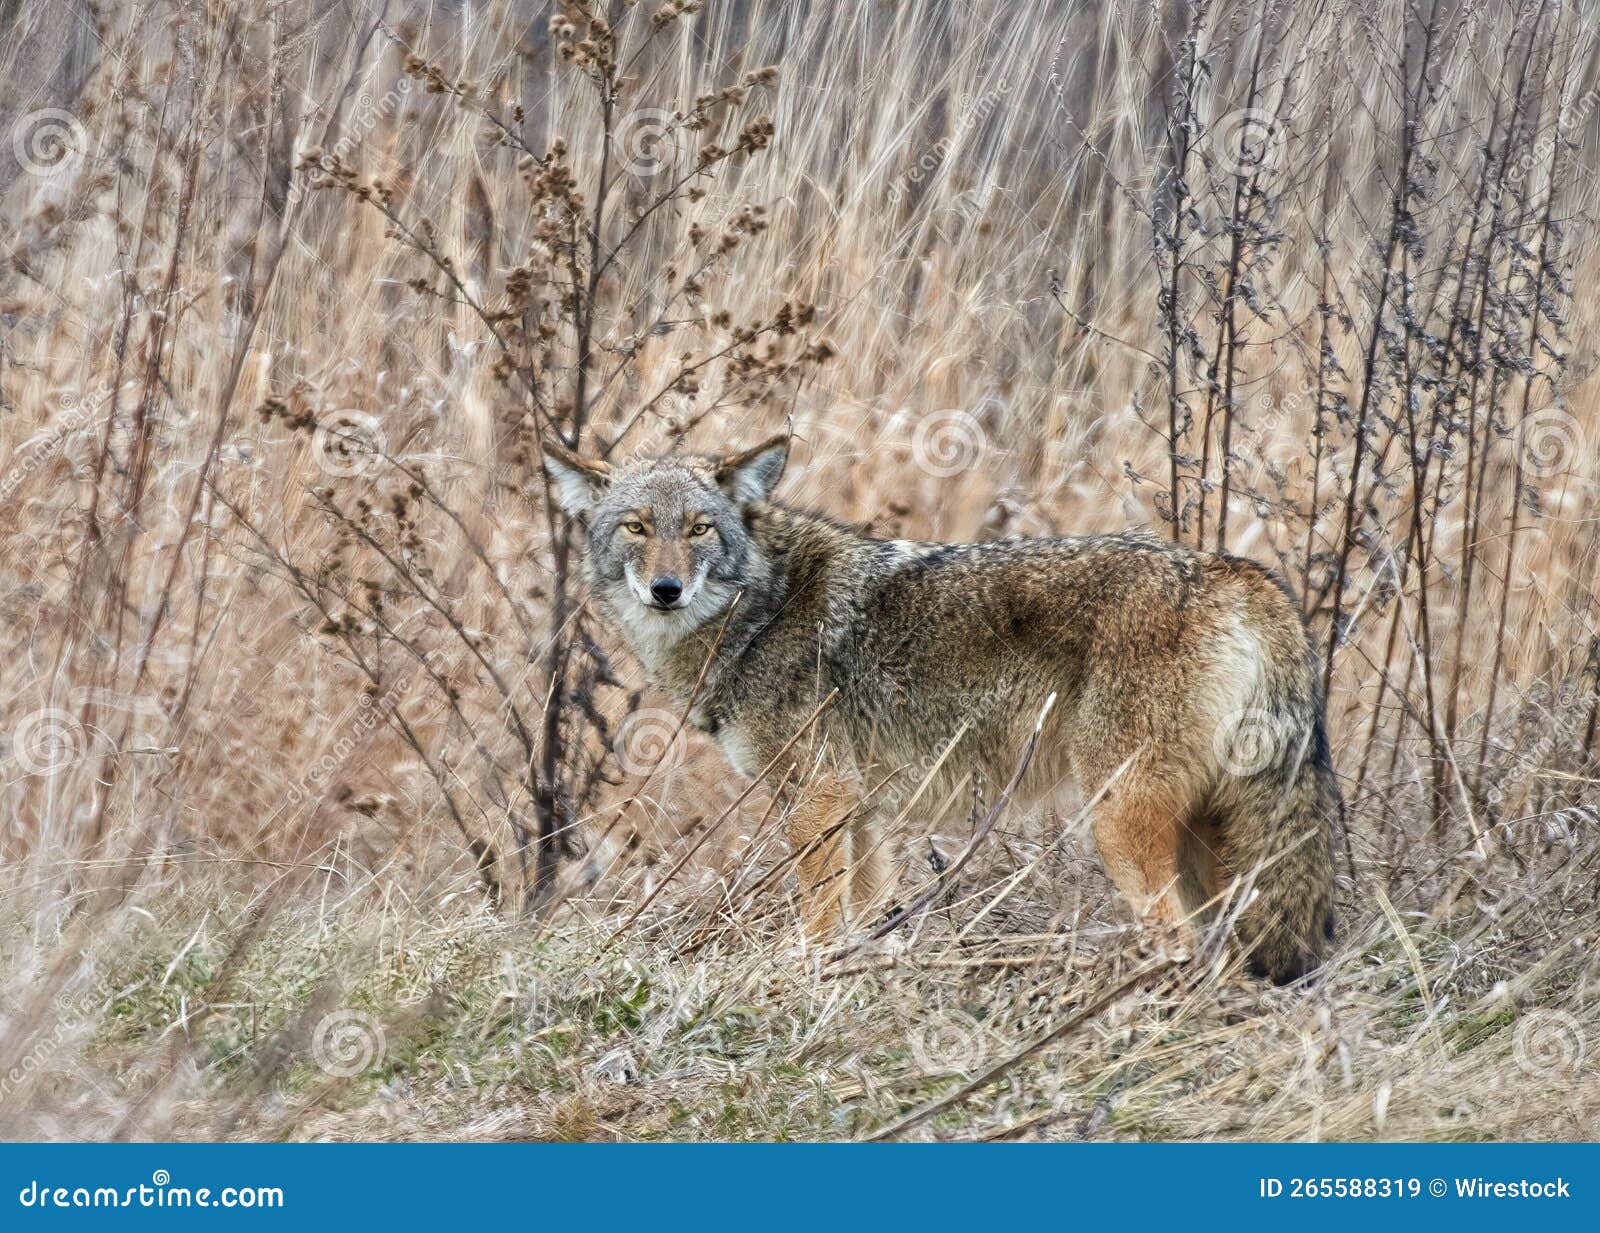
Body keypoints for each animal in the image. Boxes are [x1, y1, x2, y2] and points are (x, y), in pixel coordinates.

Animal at [546, 433, 1339, 982]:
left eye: (699, 527)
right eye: (637, 527)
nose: (667, 589)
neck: (759, 612)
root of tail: (1237, 572)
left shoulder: (820, 796)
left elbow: (817, 916)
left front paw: (805, 977)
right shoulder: (862, 811)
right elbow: (860, 912)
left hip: (1119, 818)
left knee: (1180, 940)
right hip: (1208, 835)